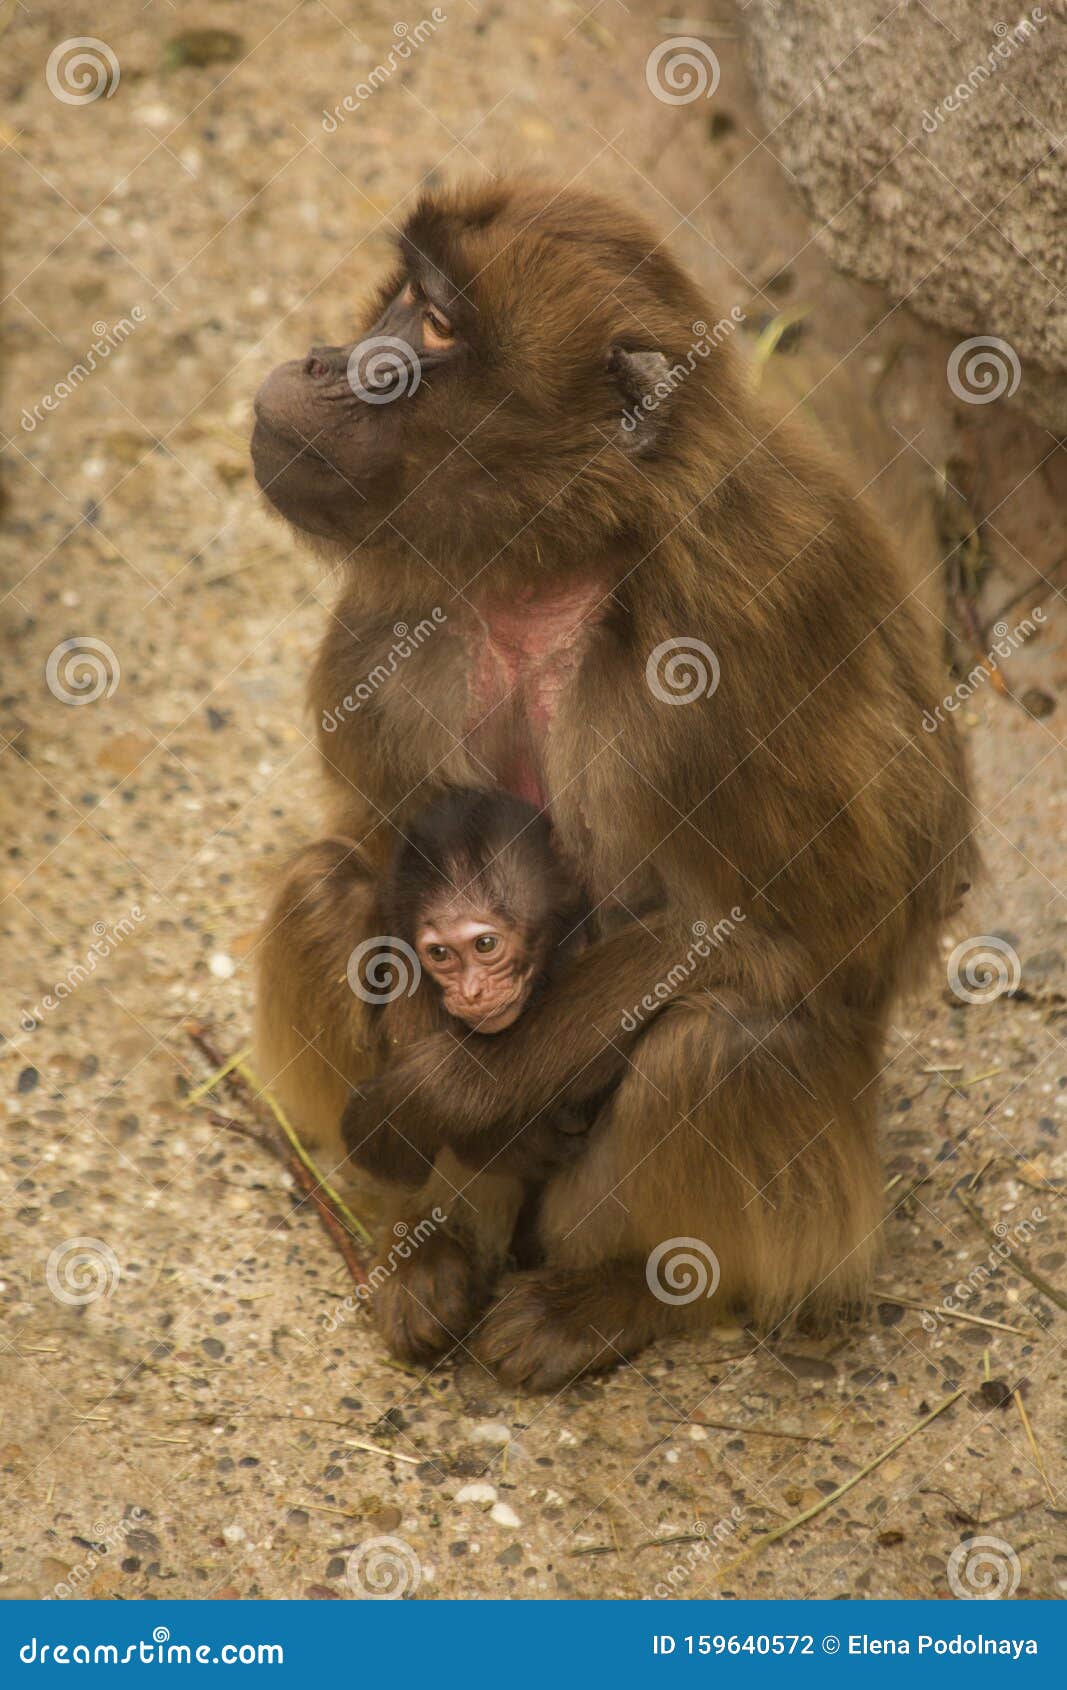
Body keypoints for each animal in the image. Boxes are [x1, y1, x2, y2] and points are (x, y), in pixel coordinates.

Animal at [250, 175, 976, 1388]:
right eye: (402, 297)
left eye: (434, 328)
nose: (319, 359)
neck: (559, 558)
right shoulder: (398, 615)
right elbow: (382, 843)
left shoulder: (739, 619)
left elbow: (825, 925)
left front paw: (455, 1093)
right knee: (326, 884)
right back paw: (427, 1246)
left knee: (727, 1040)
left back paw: (628, 1292)